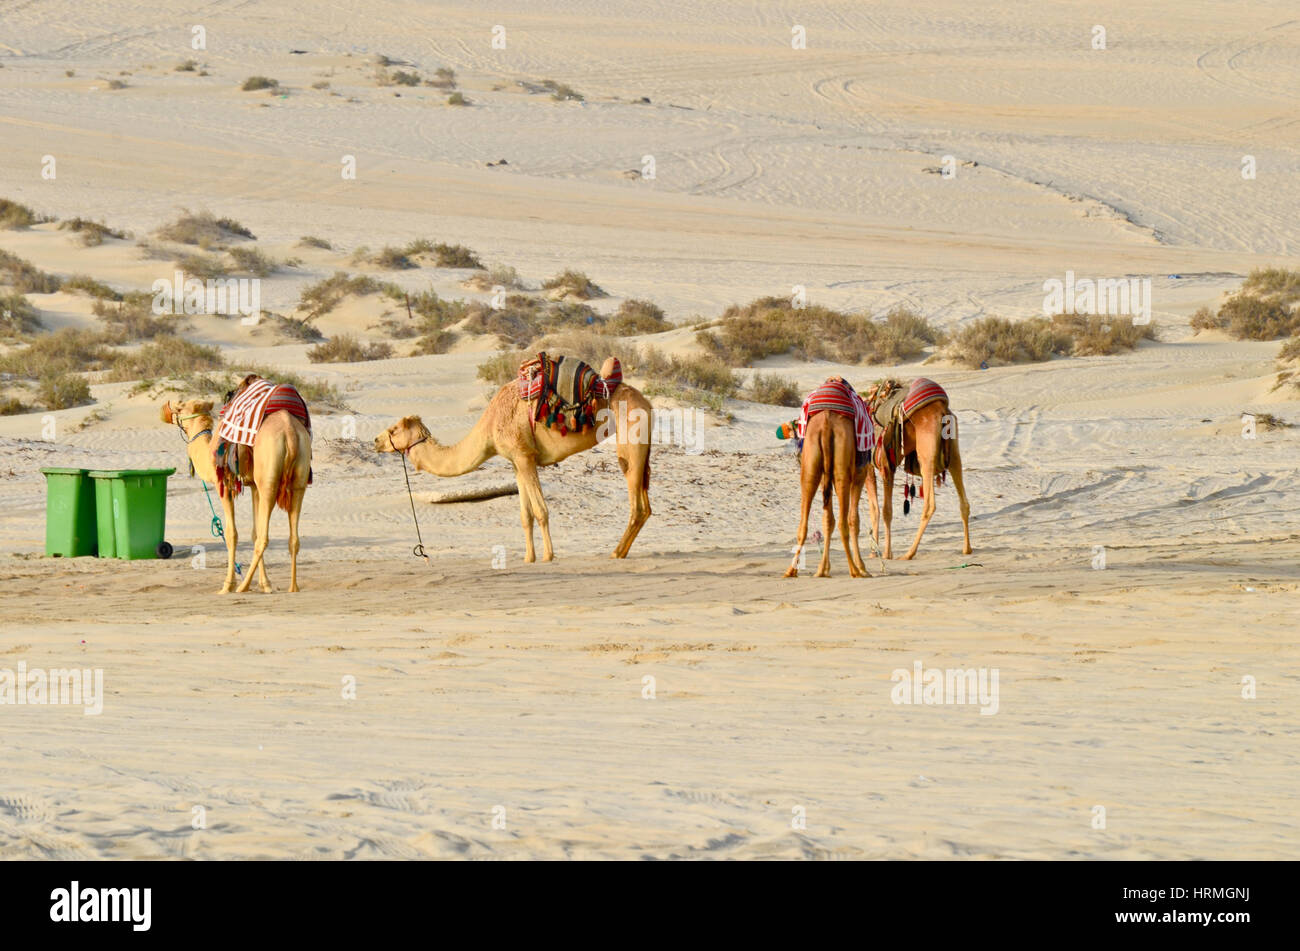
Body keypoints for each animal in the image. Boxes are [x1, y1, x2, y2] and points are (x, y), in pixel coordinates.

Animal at [161, 395, 312, 593]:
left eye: (179, 407)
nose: (164, 409)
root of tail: (290, 432)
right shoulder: (254, 486)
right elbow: (254, 532)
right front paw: (265, 584)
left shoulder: (224, 484)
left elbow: (232, 534)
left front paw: (227, 585)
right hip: (299, 479)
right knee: (292, 538)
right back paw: (293, 588)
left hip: (269, 482)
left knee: (264, 538)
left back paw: (243, 586)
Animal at [374, 358, 652, 561]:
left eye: (394, 430)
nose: (376, 441)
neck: (489, 426)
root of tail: (646, 401)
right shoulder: (515, 463)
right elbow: (525, 516)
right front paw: (529, 558)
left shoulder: (524, 456)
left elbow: (541, 510)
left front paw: (548, 556)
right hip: (643, 446)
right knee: (646, 504)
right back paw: (620, 551)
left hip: (629, 441)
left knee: (636, 503)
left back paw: (615, 552)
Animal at [784, 409, 870, 578]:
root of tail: (826, 426)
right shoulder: (860, 474)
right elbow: (854, 520)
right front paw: (863, 567)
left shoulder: (826, 476)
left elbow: (828, 521)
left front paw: (822, 569)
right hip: (842, 472)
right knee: (843, 523)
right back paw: (855, 570)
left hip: (810, 467)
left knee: (803, 525)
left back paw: (791, 570)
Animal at [862, 380, 972, 561]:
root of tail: (942, 410)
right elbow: (876, 508)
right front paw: (877, 551)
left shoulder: (881, 465)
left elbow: (882, 510)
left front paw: (884, 553)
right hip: (954, 452)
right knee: (964, 502)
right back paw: (967, 549)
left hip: (926, 455)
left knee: (929, 505)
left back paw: (909, 553)